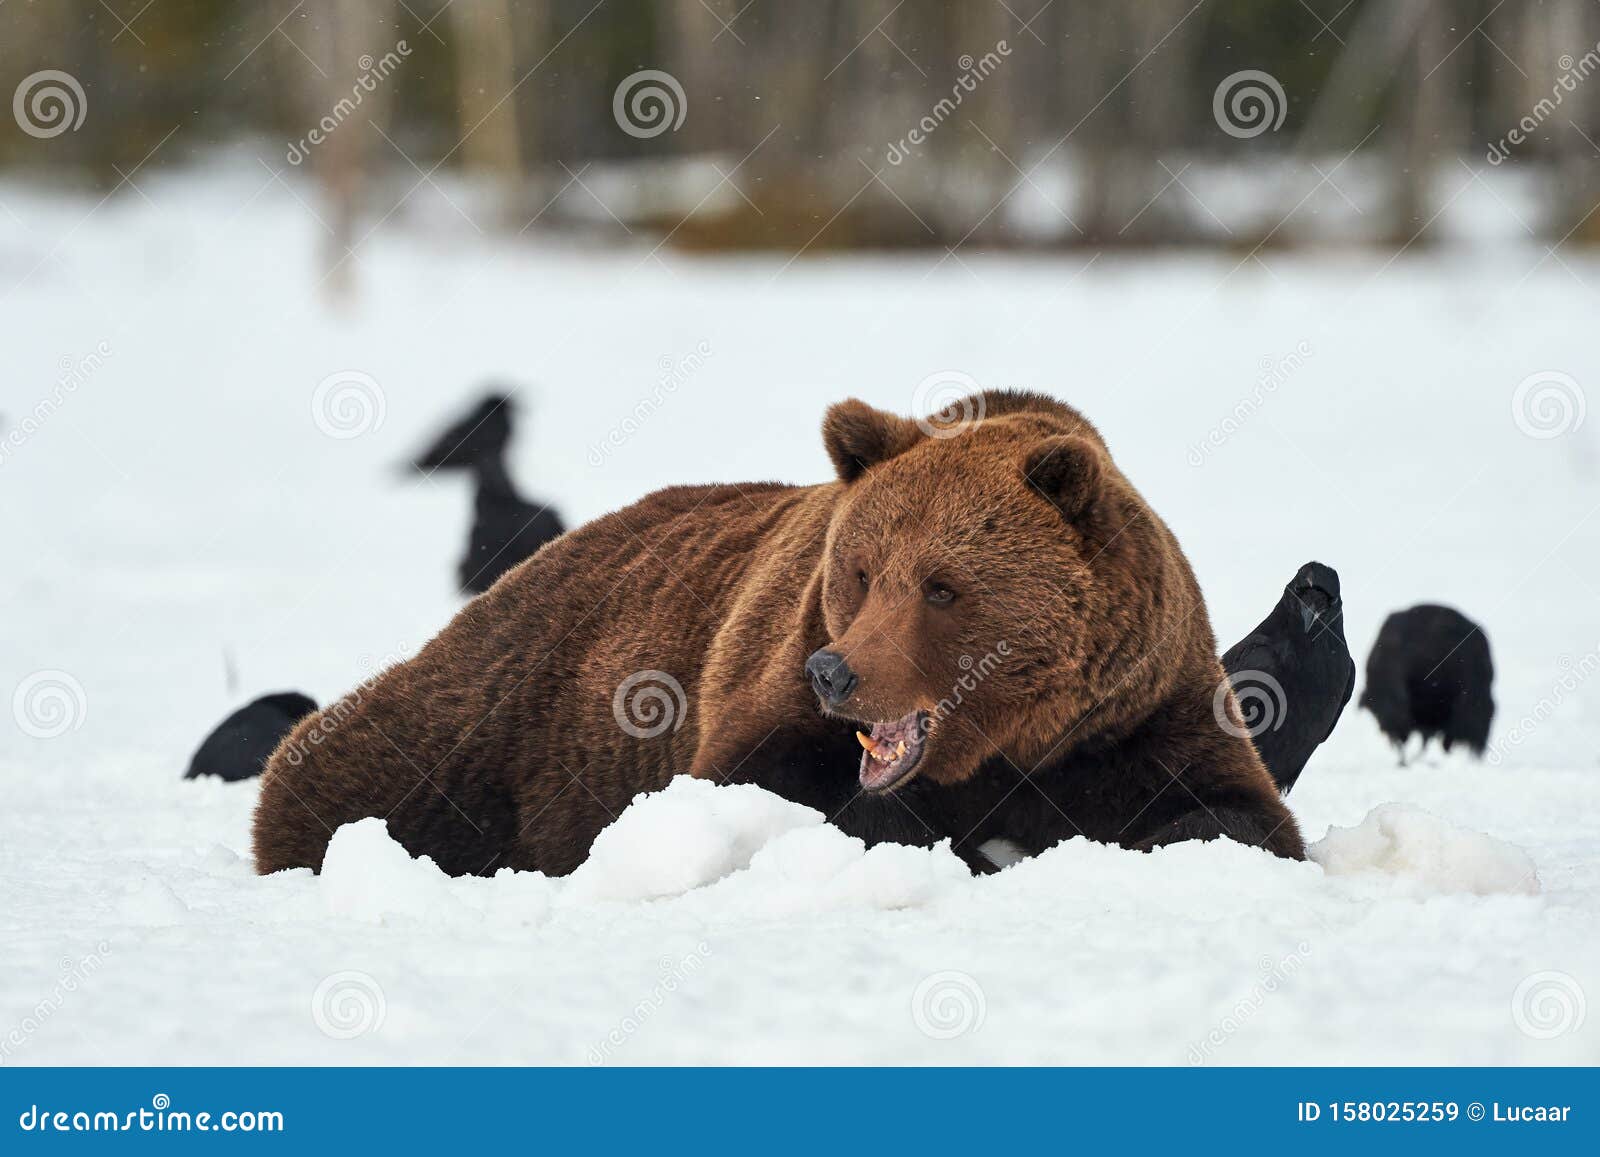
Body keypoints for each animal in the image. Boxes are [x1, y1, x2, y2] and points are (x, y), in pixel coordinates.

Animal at [253, 389, 1302, 878]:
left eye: (944, 585)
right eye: (862, 571)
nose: (841, 673)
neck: (1011, 747)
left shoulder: (1134, 718)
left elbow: (1236, 814)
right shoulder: (766, 677)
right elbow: (763, 787)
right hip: (500, 711)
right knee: (339, 764)